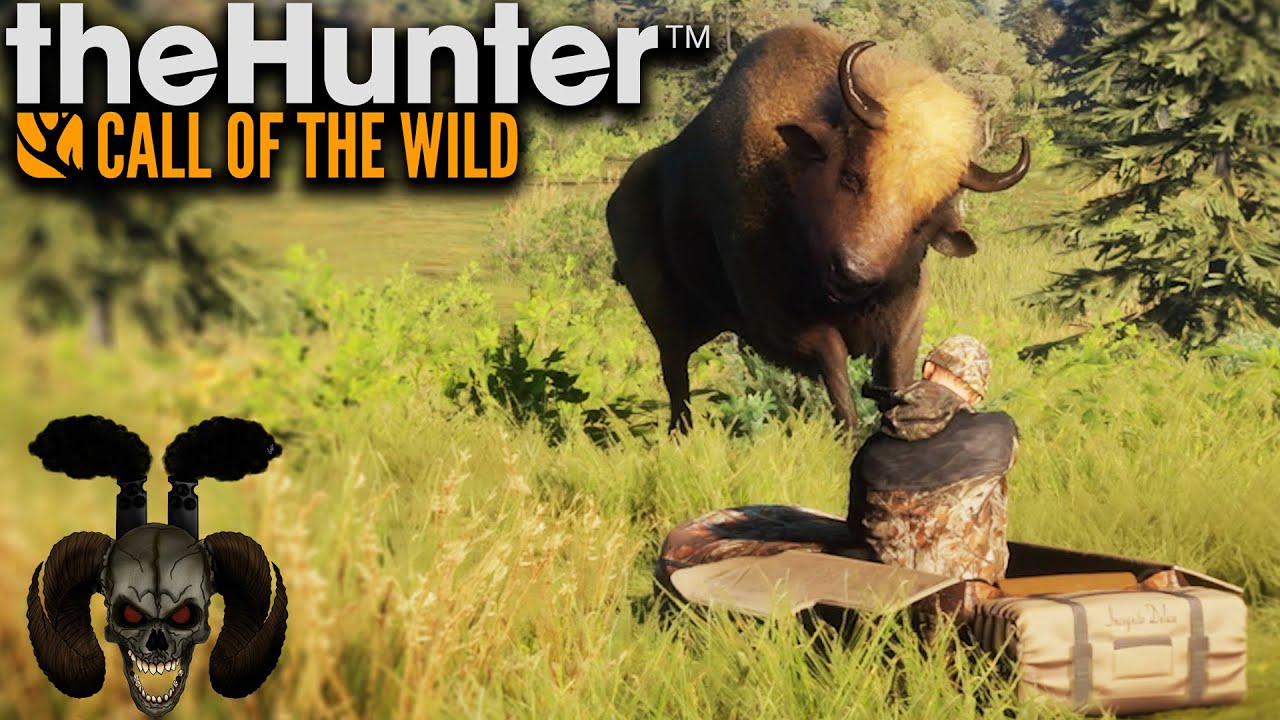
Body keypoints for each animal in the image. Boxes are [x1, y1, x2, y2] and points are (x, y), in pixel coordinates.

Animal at [607, 24, 1029, 434]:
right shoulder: (775, 321)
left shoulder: (904, 318)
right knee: (677, 378)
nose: (852, 274)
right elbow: (834, 362)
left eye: (925, 219)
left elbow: (895, 373)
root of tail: (618, 198)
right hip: (666, 323)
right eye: (851, 176)